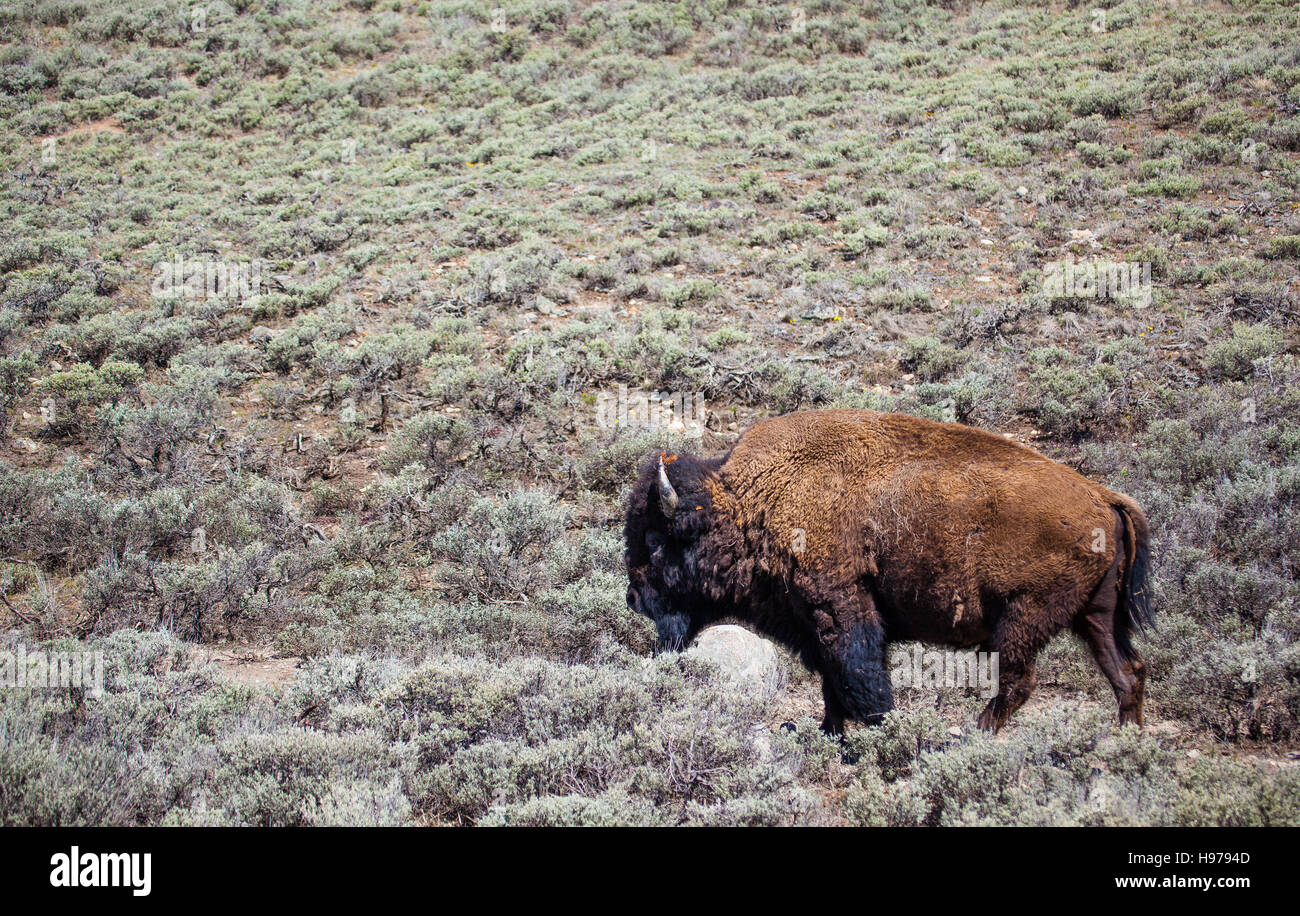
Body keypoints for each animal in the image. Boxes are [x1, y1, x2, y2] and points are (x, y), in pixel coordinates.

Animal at [624, 409, 1152, 733]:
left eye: (653, 540)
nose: (632, 598)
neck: (751, 499)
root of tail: (1105, 498)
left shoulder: (840, 608)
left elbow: (859, 678)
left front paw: (879, 731)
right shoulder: (813, 624)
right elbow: (832, 686)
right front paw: (830, 737)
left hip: (1024, 617)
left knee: (1018, 681)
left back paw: (977, 734)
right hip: (1094, 616)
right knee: (1127, 672)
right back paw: (1124, 742)